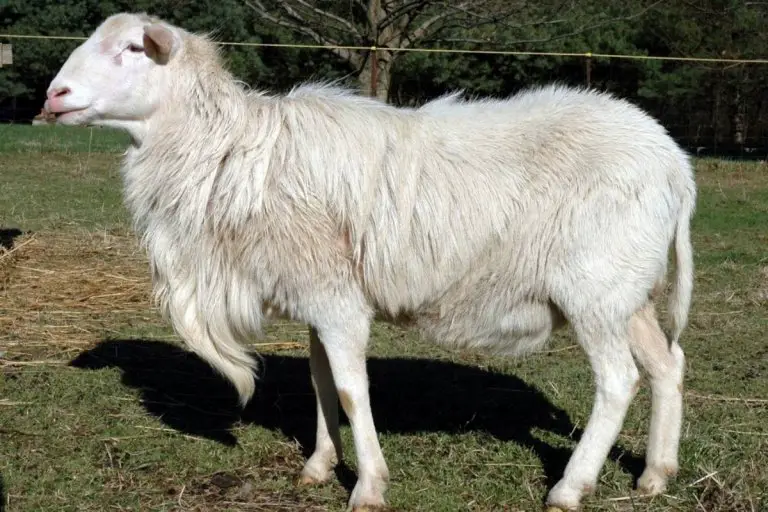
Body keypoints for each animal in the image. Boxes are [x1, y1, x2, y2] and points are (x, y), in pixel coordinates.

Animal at [43, 12, 696, 512]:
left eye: (133, 48)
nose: (53, 97)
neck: (229, 150)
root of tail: (676, 164)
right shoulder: (313, 293)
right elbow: (320, 382)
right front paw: (317, 466)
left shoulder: (337, 299)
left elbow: (353, 389)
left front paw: (369, 486)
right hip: (628, 293)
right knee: (667, 365)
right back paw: (655, 474)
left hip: (594, 289)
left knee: (619, 381)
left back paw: (570, 487)